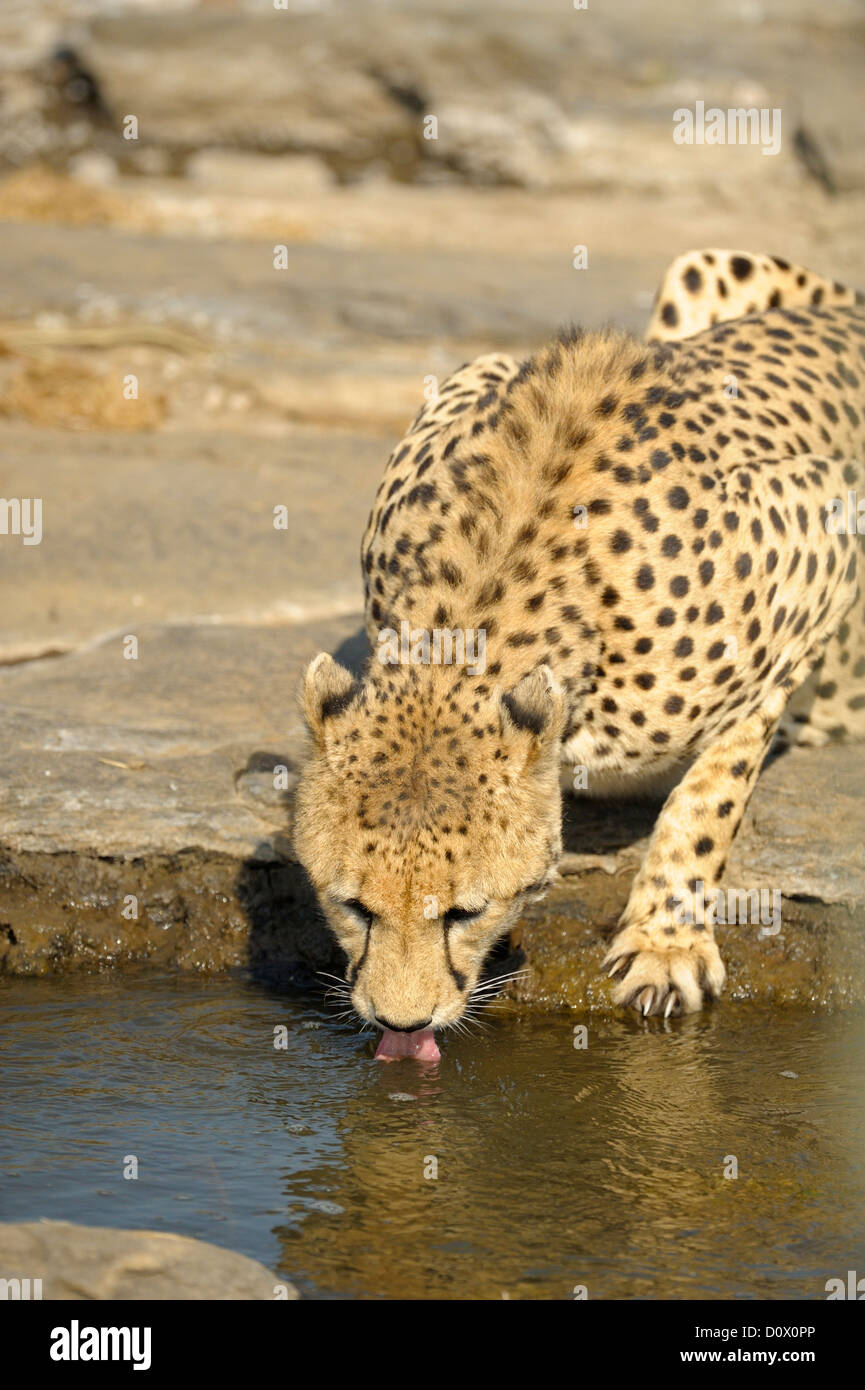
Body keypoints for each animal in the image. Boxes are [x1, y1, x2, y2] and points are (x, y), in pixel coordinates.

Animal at [292, 248, 865, 1052]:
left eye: (464, 912)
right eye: (352, 905)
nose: (400, 1024)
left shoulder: (827, 534)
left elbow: (713, 788)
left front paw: (666, 941)